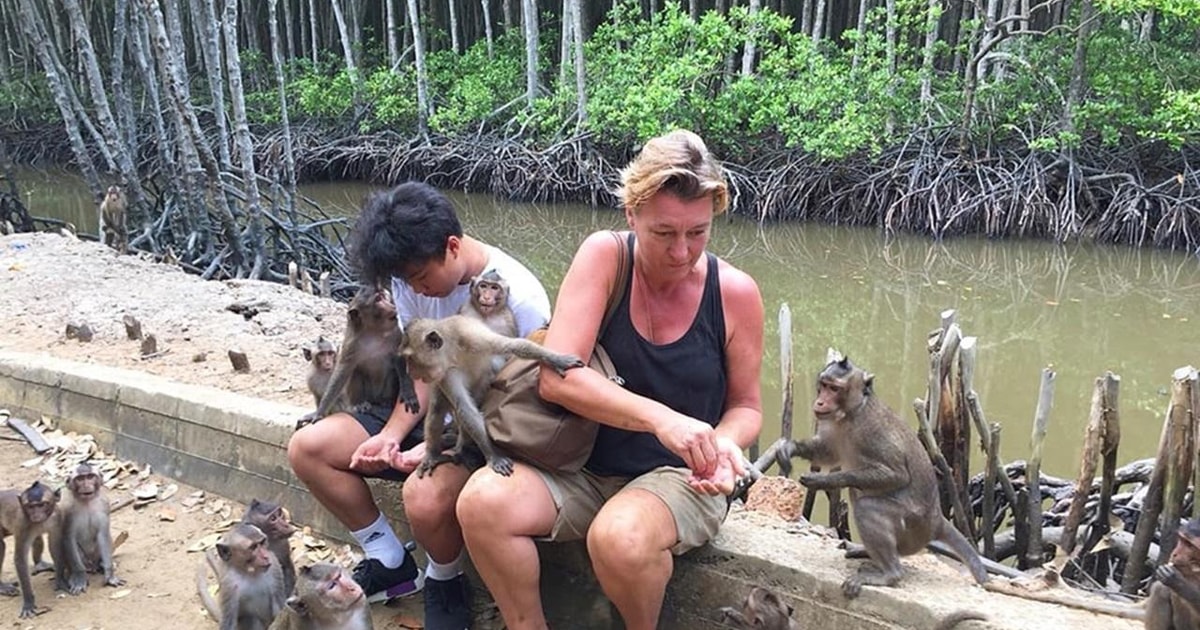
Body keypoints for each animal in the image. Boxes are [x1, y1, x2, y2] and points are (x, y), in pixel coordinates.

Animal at [0, 481, 59, 618]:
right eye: (30, 507)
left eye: (42, 505)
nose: (36, 515)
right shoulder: (23, 524)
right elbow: (20, 559)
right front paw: (28, 603)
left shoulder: (57, 516)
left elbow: (56, 544)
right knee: (1, 546)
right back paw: (2, 586)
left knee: (37, 537)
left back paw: (40, 564)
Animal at [49, 463, 123, 595]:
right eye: (79, 479)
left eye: (90, 477)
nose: (86, 485)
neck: (87, 501)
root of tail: (91, 566)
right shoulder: (67, 509)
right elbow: (68, 538)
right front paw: (79, 577)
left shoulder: (104, 504)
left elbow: (103, 535)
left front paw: (109, 575)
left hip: (94, 557)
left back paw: (101, 564)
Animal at [294, 285, 418, 430]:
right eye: (378, 299)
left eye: (383, 296)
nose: (392, 306)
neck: (374, 331)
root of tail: (375, 399)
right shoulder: (351, 343)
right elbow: (343, 371)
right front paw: (319, 413)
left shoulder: (396, 334)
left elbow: (400, 360)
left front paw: (408, 393)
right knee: (356, 373)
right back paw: (360, 404)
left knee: (392, 372)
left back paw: (386, 401)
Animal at [399, 314, 585, 477]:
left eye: (410, 359)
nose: (408, 371)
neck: (453, 352)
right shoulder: (445, 373)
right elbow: (464, 408)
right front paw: (493, 455)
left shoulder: (471, 336)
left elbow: (514, 345)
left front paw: (556, 359)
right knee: (439, 408)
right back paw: (440, 453)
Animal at [771, 353, 988, 599]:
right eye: (824, 385)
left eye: (835, 389)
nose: (820, 402)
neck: (852, 413)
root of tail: (936, 520)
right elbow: (826, 452)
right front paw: (788, 448)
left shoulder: (871, 432)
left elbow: (897, 475)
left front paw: (822, 481)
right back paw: (867, 553)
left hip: (912, 525)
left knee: (867, 507)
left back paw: (890, 574)